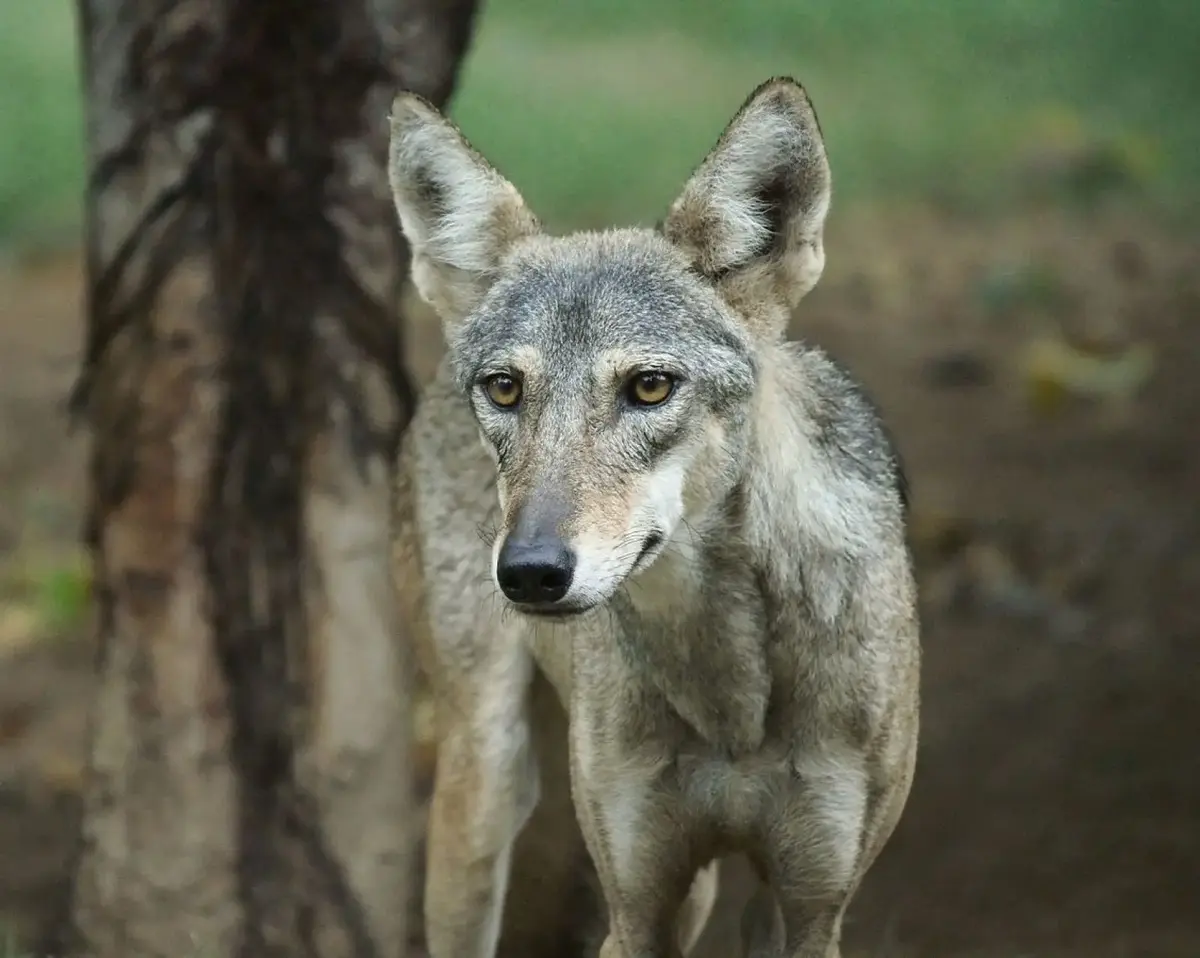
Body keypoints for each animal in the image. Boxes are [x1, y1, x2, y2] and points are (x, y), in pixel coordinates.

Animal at [388, 77, 920, 958]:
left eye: (649, 387)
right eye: (506, 389)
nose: (530, 573)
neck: (728, 690)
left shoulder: (811, 909)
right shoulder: (637, 908)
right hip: (486, 794)